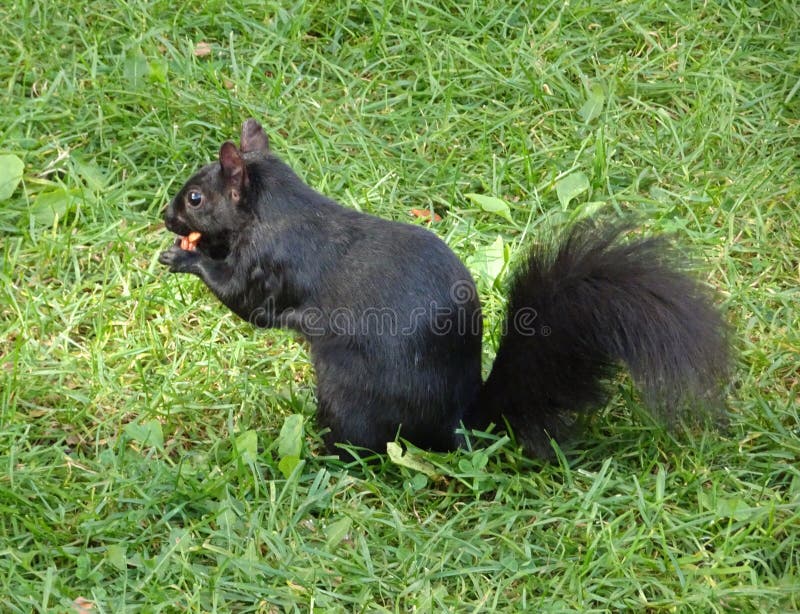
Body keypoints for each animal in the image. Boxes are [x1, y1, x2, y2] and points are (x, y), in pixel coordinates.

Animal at [159, 119, 729, 459]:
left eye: (194, 197)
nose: (166, 217)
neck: (275, 208)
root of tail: (457, 425)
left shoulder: (269, 265)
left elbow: (243, 301)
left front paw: (184, 257)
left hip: (348, 392)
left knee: (363, 446)